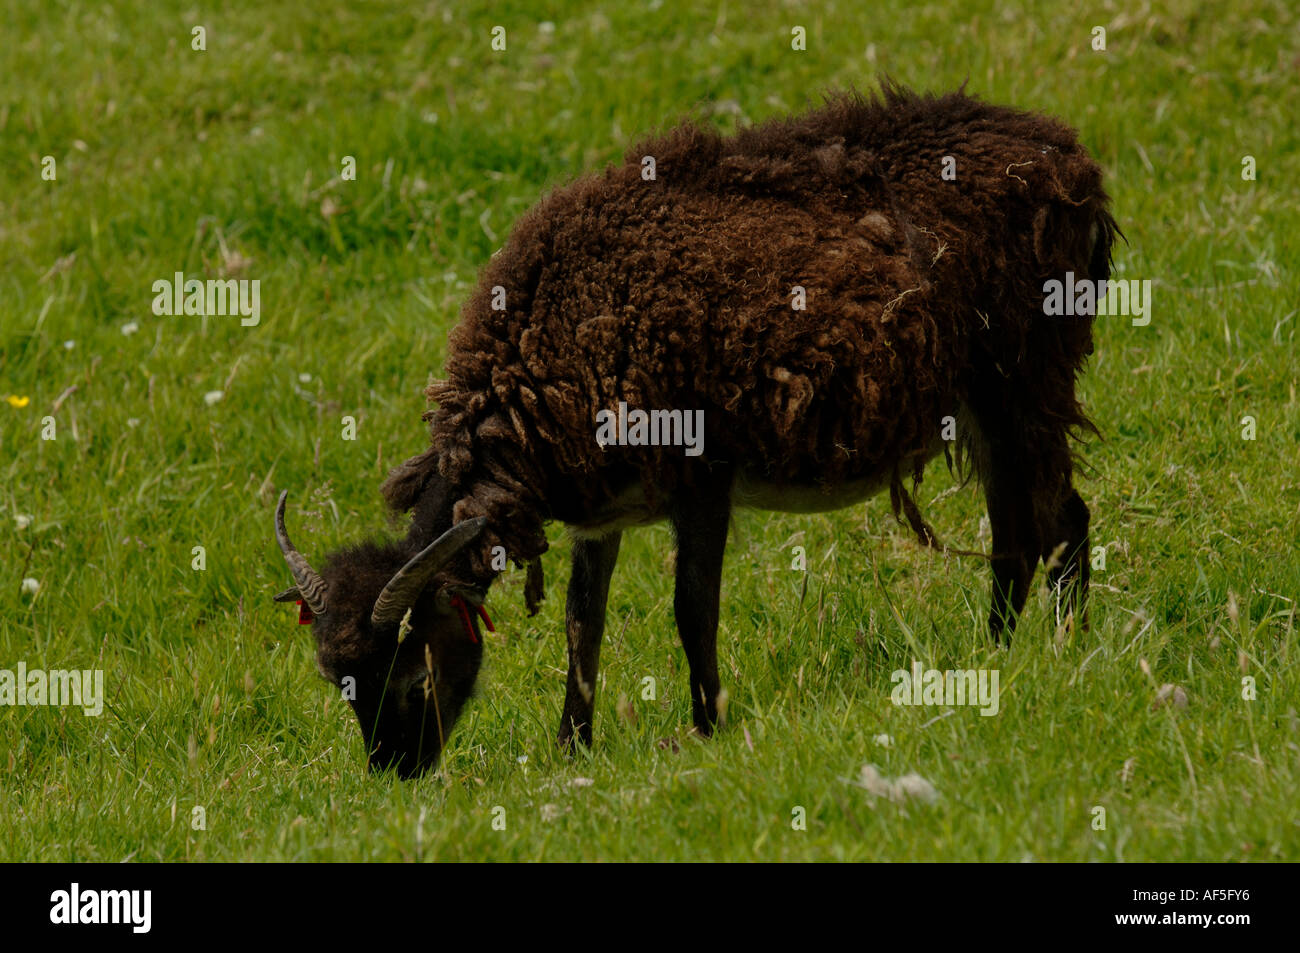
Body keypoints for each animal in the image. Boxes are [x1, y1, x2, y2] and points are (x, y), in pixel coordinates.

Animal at [273, 82, 1118, 778]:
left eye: (413, 671)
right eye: (338, 683)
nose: (397, 772)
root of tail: (1068, 157)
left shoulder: (704, 472)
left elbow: (691, 608)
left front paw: (707, 726)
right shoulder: (599, 512)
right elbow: (583, 623)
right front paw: (570, 748)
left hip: (1028, 373)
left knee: (1061, 518)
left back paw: (1066, 648)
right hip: (982, 398)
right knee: (1015, 535)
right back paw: (991, 657)